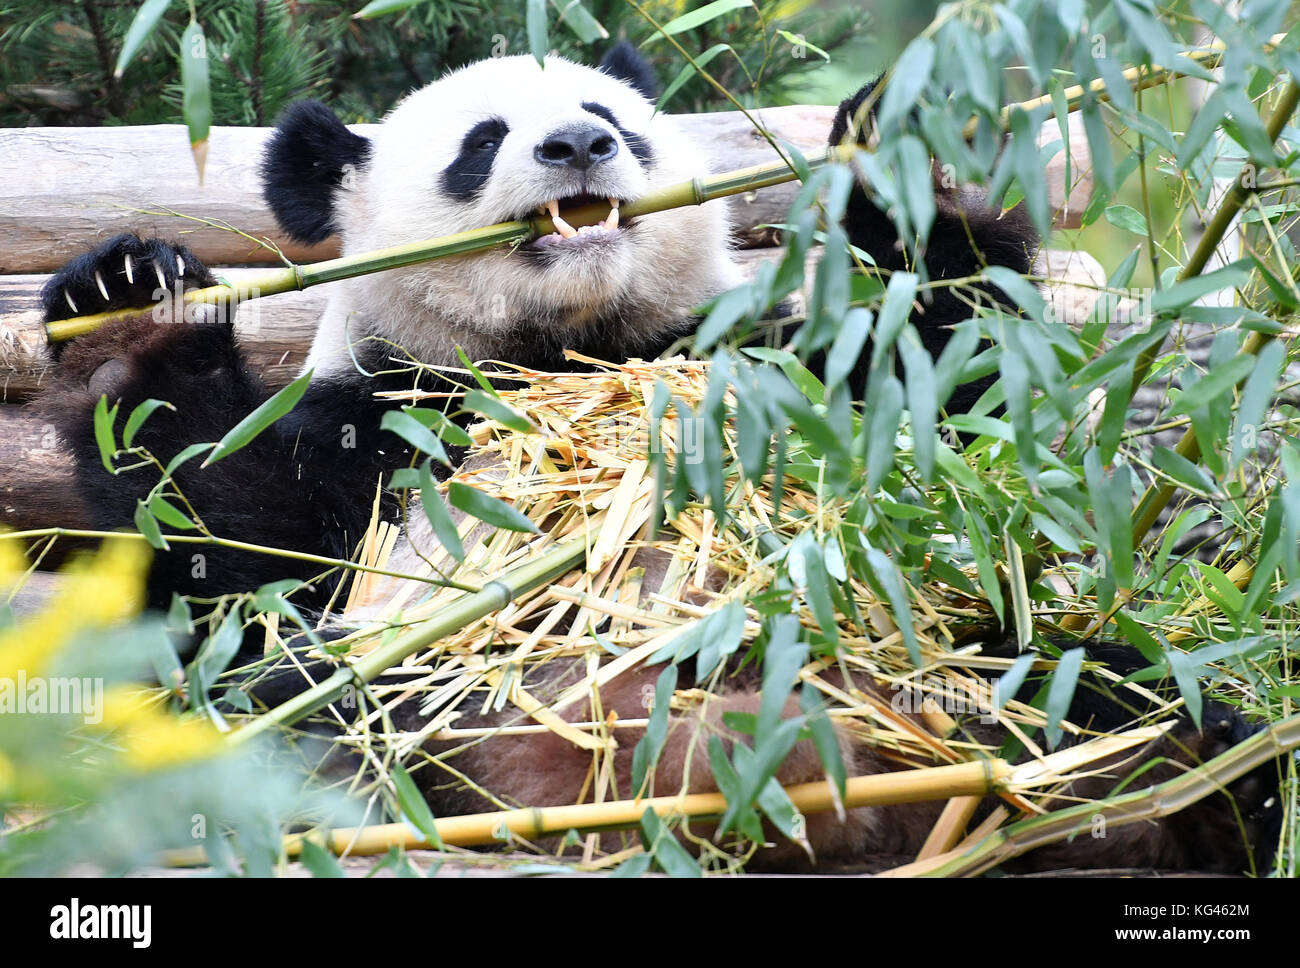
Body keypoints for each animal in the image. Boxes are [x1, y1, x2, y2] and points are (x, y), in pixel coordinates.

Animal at [35, 43, 1280, 874]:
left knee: (1117, 697)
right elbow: (222, 546)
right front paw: (124, 306)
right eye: (482, 141)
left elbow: (965, 398)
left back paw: (1171, 795)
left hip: (960, 673)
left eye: (610, 118)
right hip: (423, 708)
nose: (577, 146)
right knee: (287, 716)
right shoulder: (384, 425)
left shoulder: (773, 361)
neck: (574, 349)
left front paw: (914, 156)